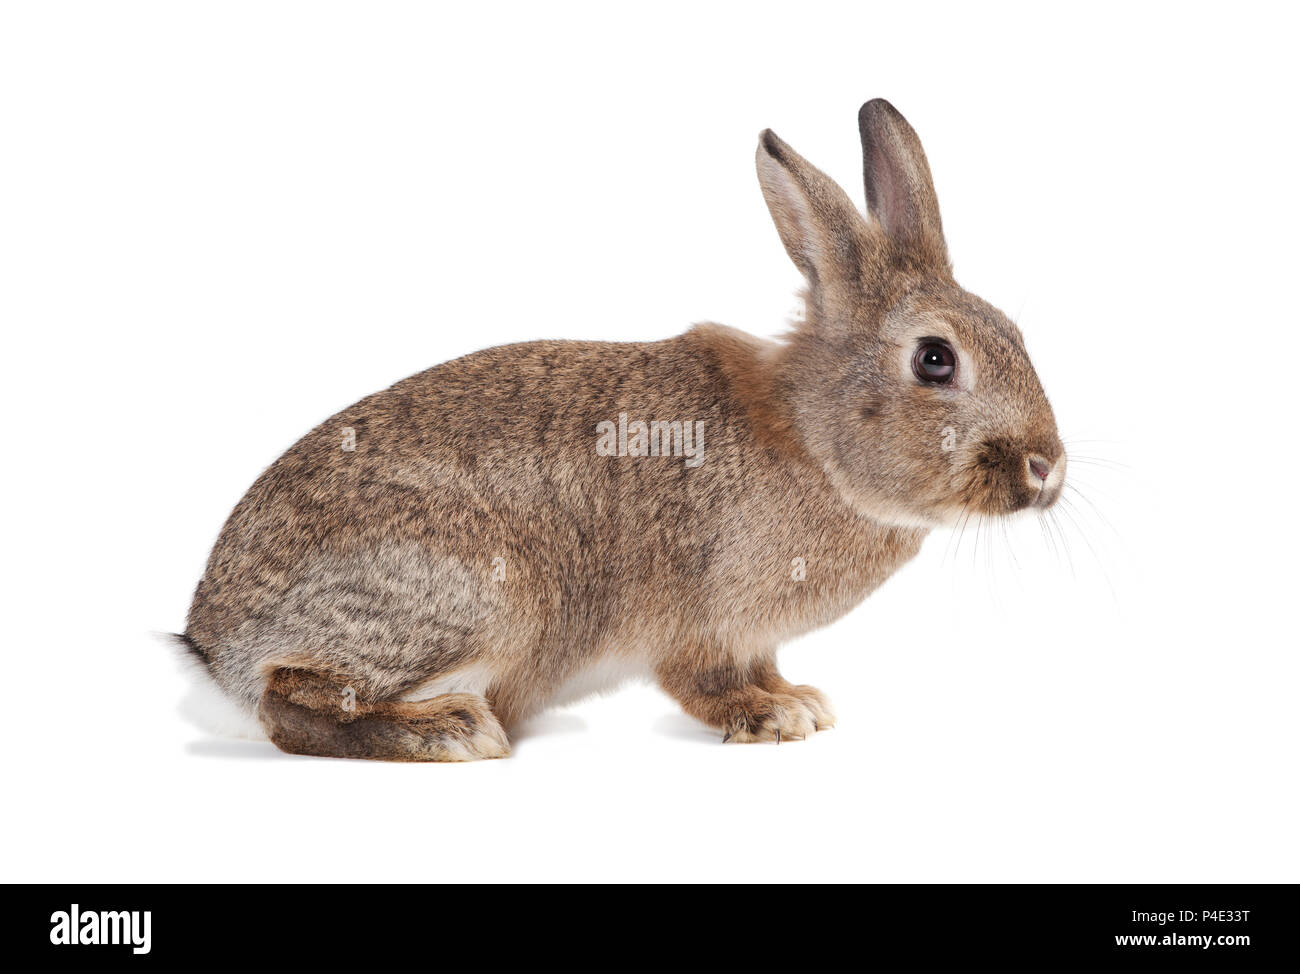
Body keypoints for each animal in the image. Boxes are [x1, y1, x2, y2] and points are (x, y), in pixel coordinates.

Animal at [176, 98, 1065, 761]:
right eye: (935, 361)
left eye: (1016, 334)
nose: (1046, 467)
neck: (814, 441)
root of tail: (214, 650)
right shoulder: (701, 619)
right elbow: (702, 682)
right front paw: (771, 719)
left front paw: (798, 699)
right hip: (478, 597)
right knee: (292, 702)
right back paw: (450, 733)